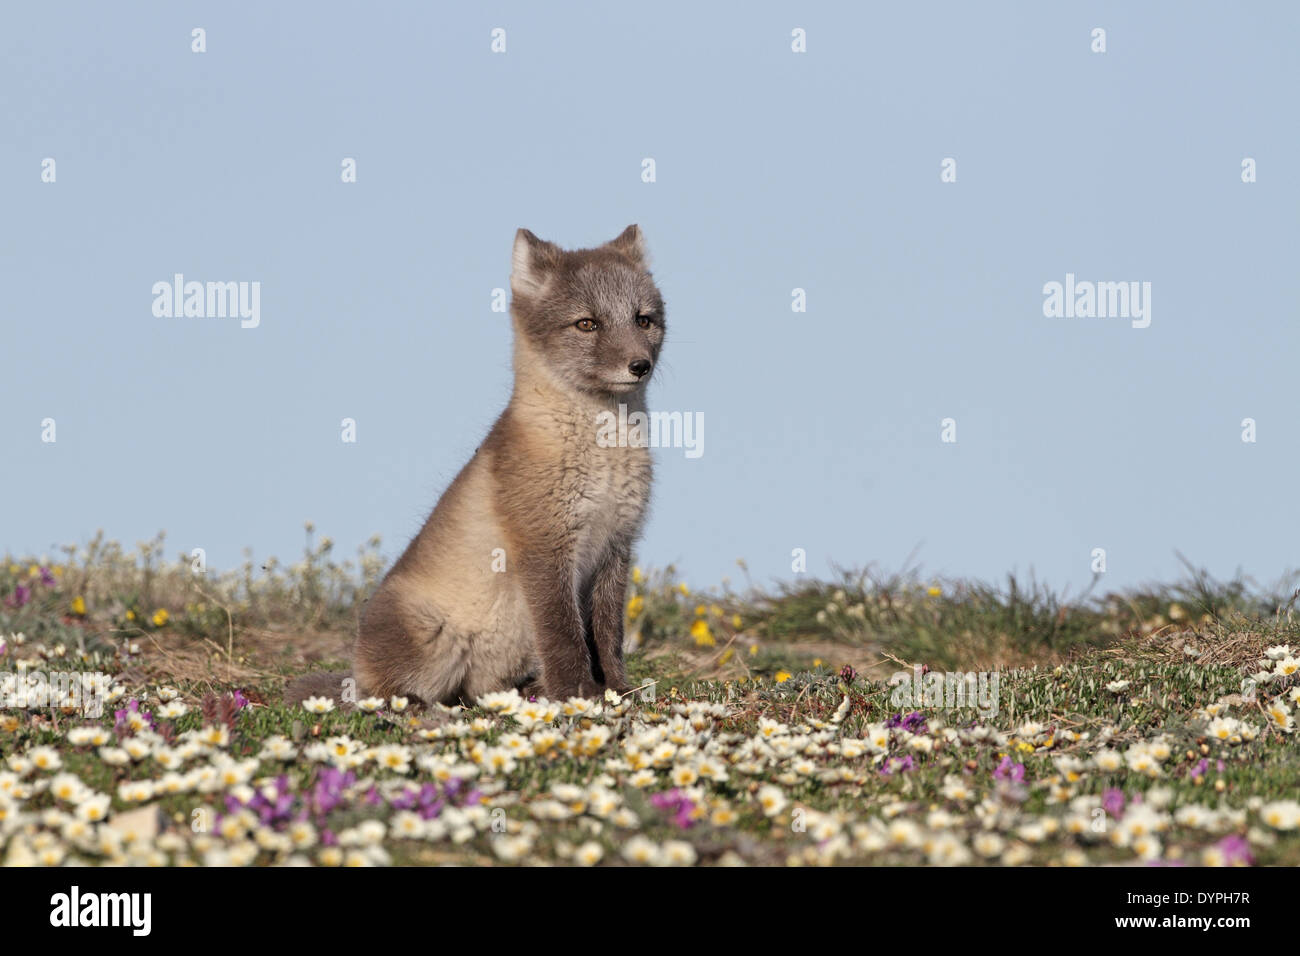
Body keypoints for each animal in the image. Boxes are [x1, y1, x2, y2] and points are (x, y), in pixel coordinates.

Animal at [286, 224, 665, 707]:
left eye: (643, 320)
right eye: (587, 323)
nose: (640, 365)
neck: (606, 457)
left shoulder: (616, 546)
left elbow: (607, 636)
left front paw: (617, 690)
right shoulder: (544, 547)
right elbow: (562, 635)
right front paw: (576, 694)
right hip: (427, 639)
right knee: (386, 694)